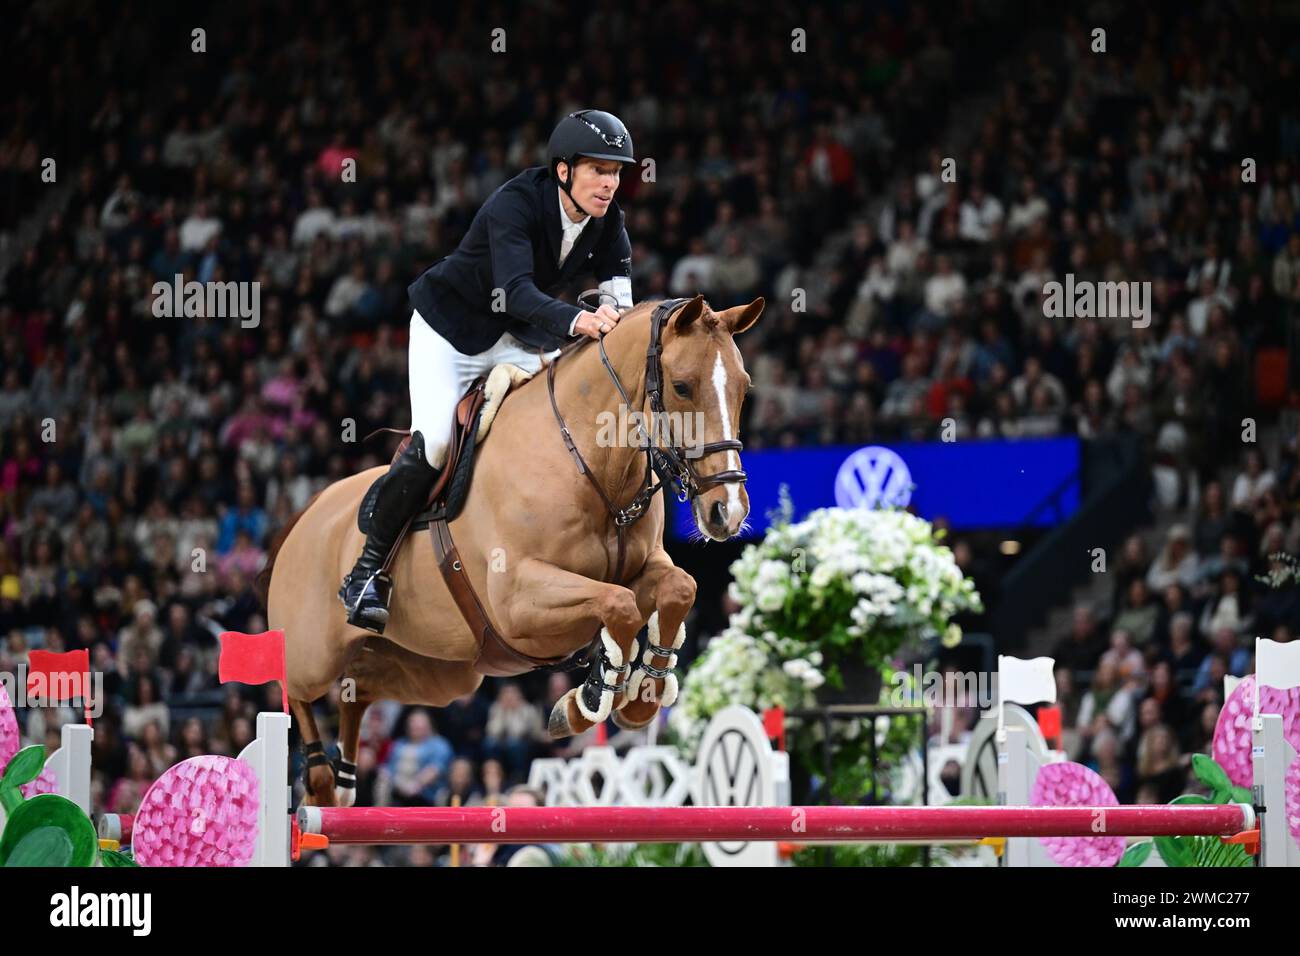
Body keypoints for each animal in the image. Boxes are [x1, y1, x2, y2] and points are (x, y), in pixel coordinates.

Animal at [260, 294, 763, 806]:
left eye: (744, 389)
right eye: (682, 387)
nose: (728, 511)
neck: (591, 462)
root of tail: (306, 513)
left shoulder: (644, 568)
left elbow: (678, 588)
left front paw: (639, 698)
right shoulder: (518, 601)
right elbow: (618, 605)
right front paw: (591, 698)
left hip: (440, 673)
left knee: (358, 689)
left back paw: (342, 780)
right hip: (314, 653)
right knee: (293, 683)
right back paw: (321, 779)